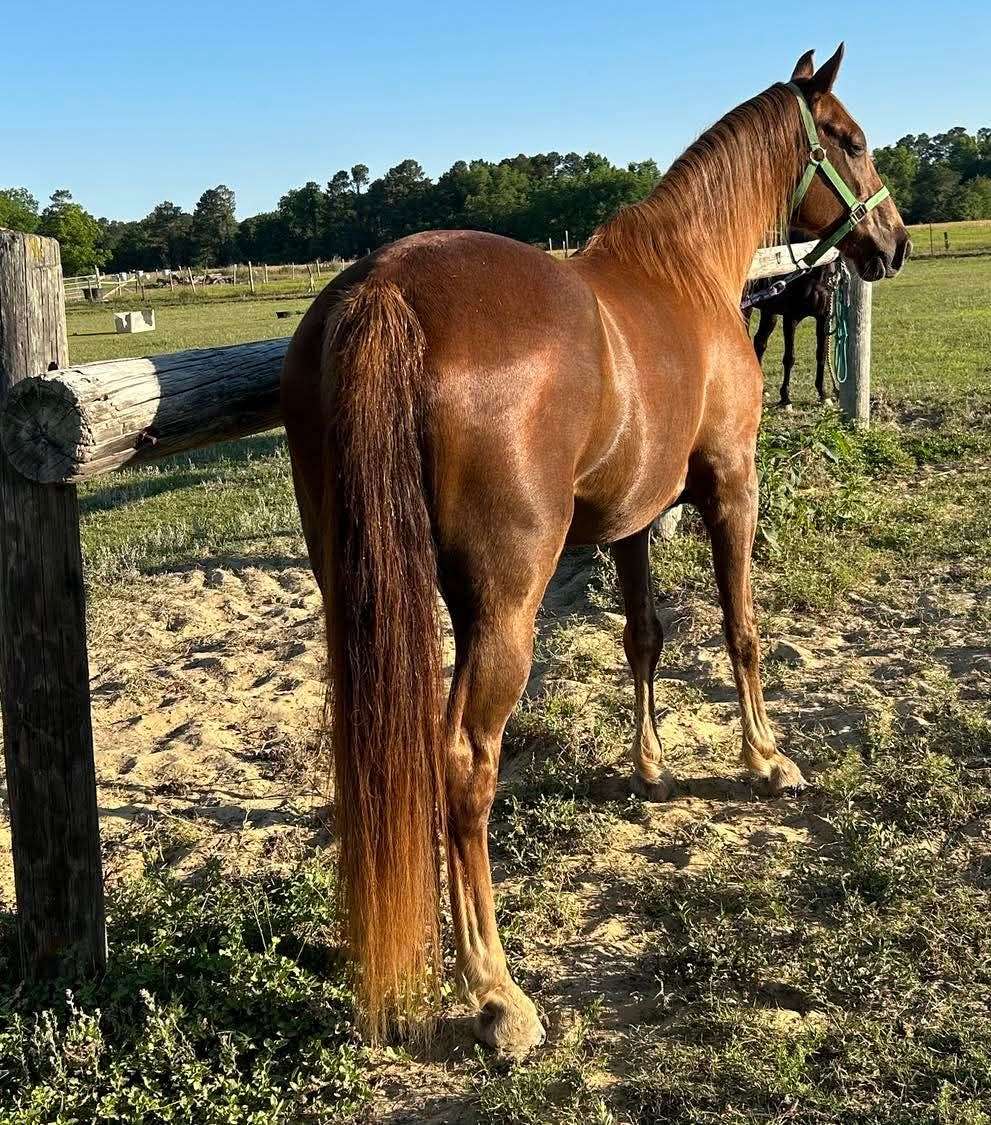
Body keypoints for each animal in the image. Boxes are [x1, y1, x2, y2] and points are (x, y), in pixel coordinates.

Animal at [746, 255, 843, 406]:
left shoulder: (823, 318)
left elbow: (821, 354)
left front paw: (823, 394)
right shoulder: (791, 318)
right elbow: (789, 358)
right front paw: (785, 398)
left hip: (769, 312)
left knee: (760, 342)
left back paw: (762, 389)